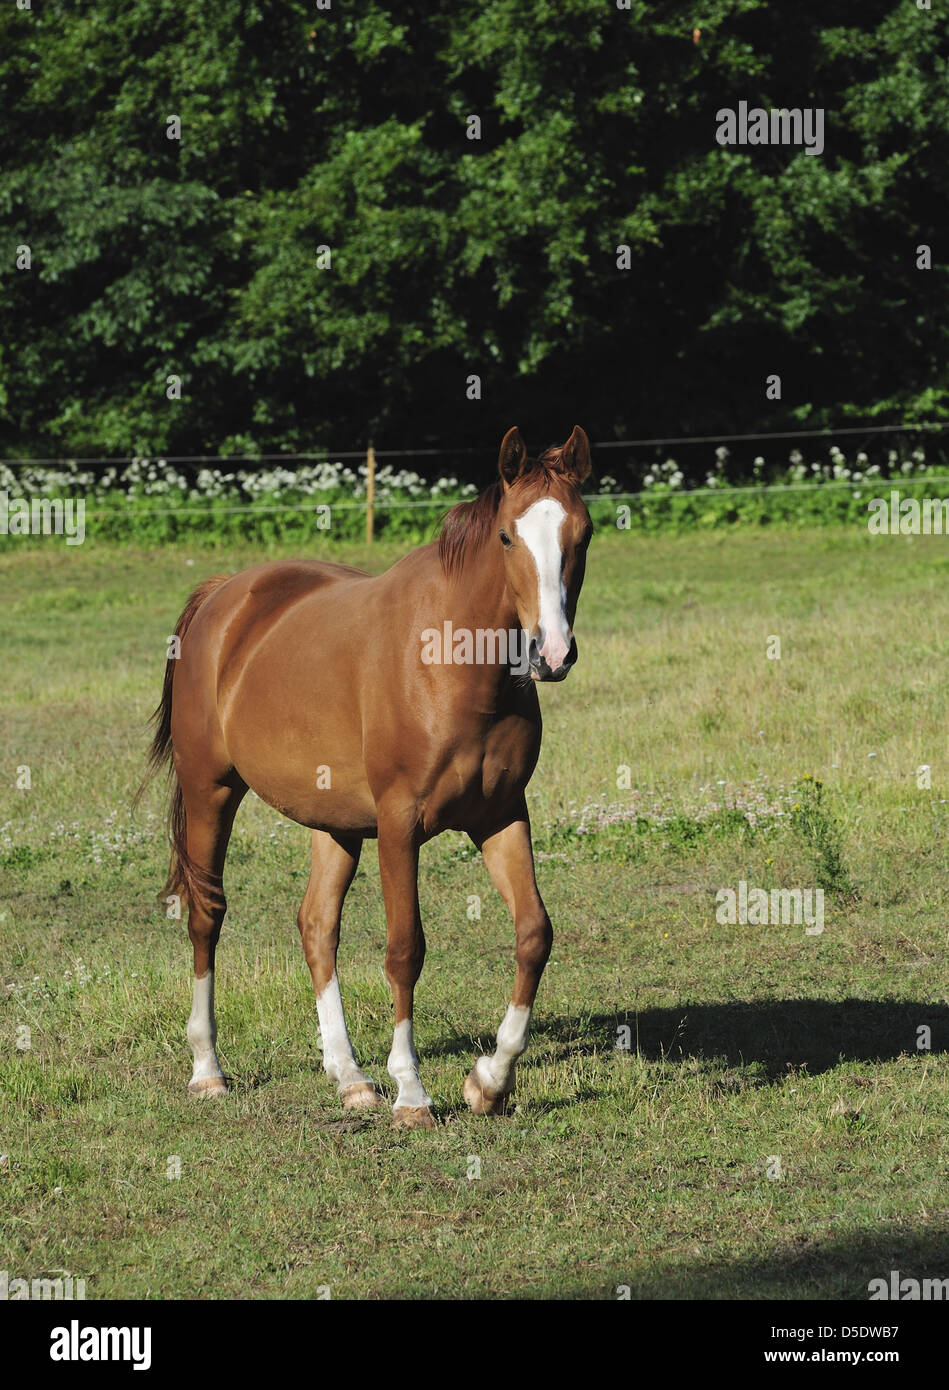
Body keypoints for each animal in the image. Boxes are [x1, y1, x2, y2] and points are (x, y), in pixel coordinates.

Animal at [139, 425, 593, 1129]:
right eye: (506, 537)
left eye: (584, 533)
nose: (552, 652)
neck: (452, 662)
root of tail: (222, 596)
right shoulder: (400, 824)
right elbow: (406, 949)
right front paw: (411, 1091)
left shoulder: (501, 815)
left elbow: (533, 935)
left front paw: (489, 1082)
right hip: (210, 791)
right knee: (206, 916)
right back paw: (208, 1070)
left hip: (336, 822)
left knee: (316, 924)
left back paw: (349, 1076)